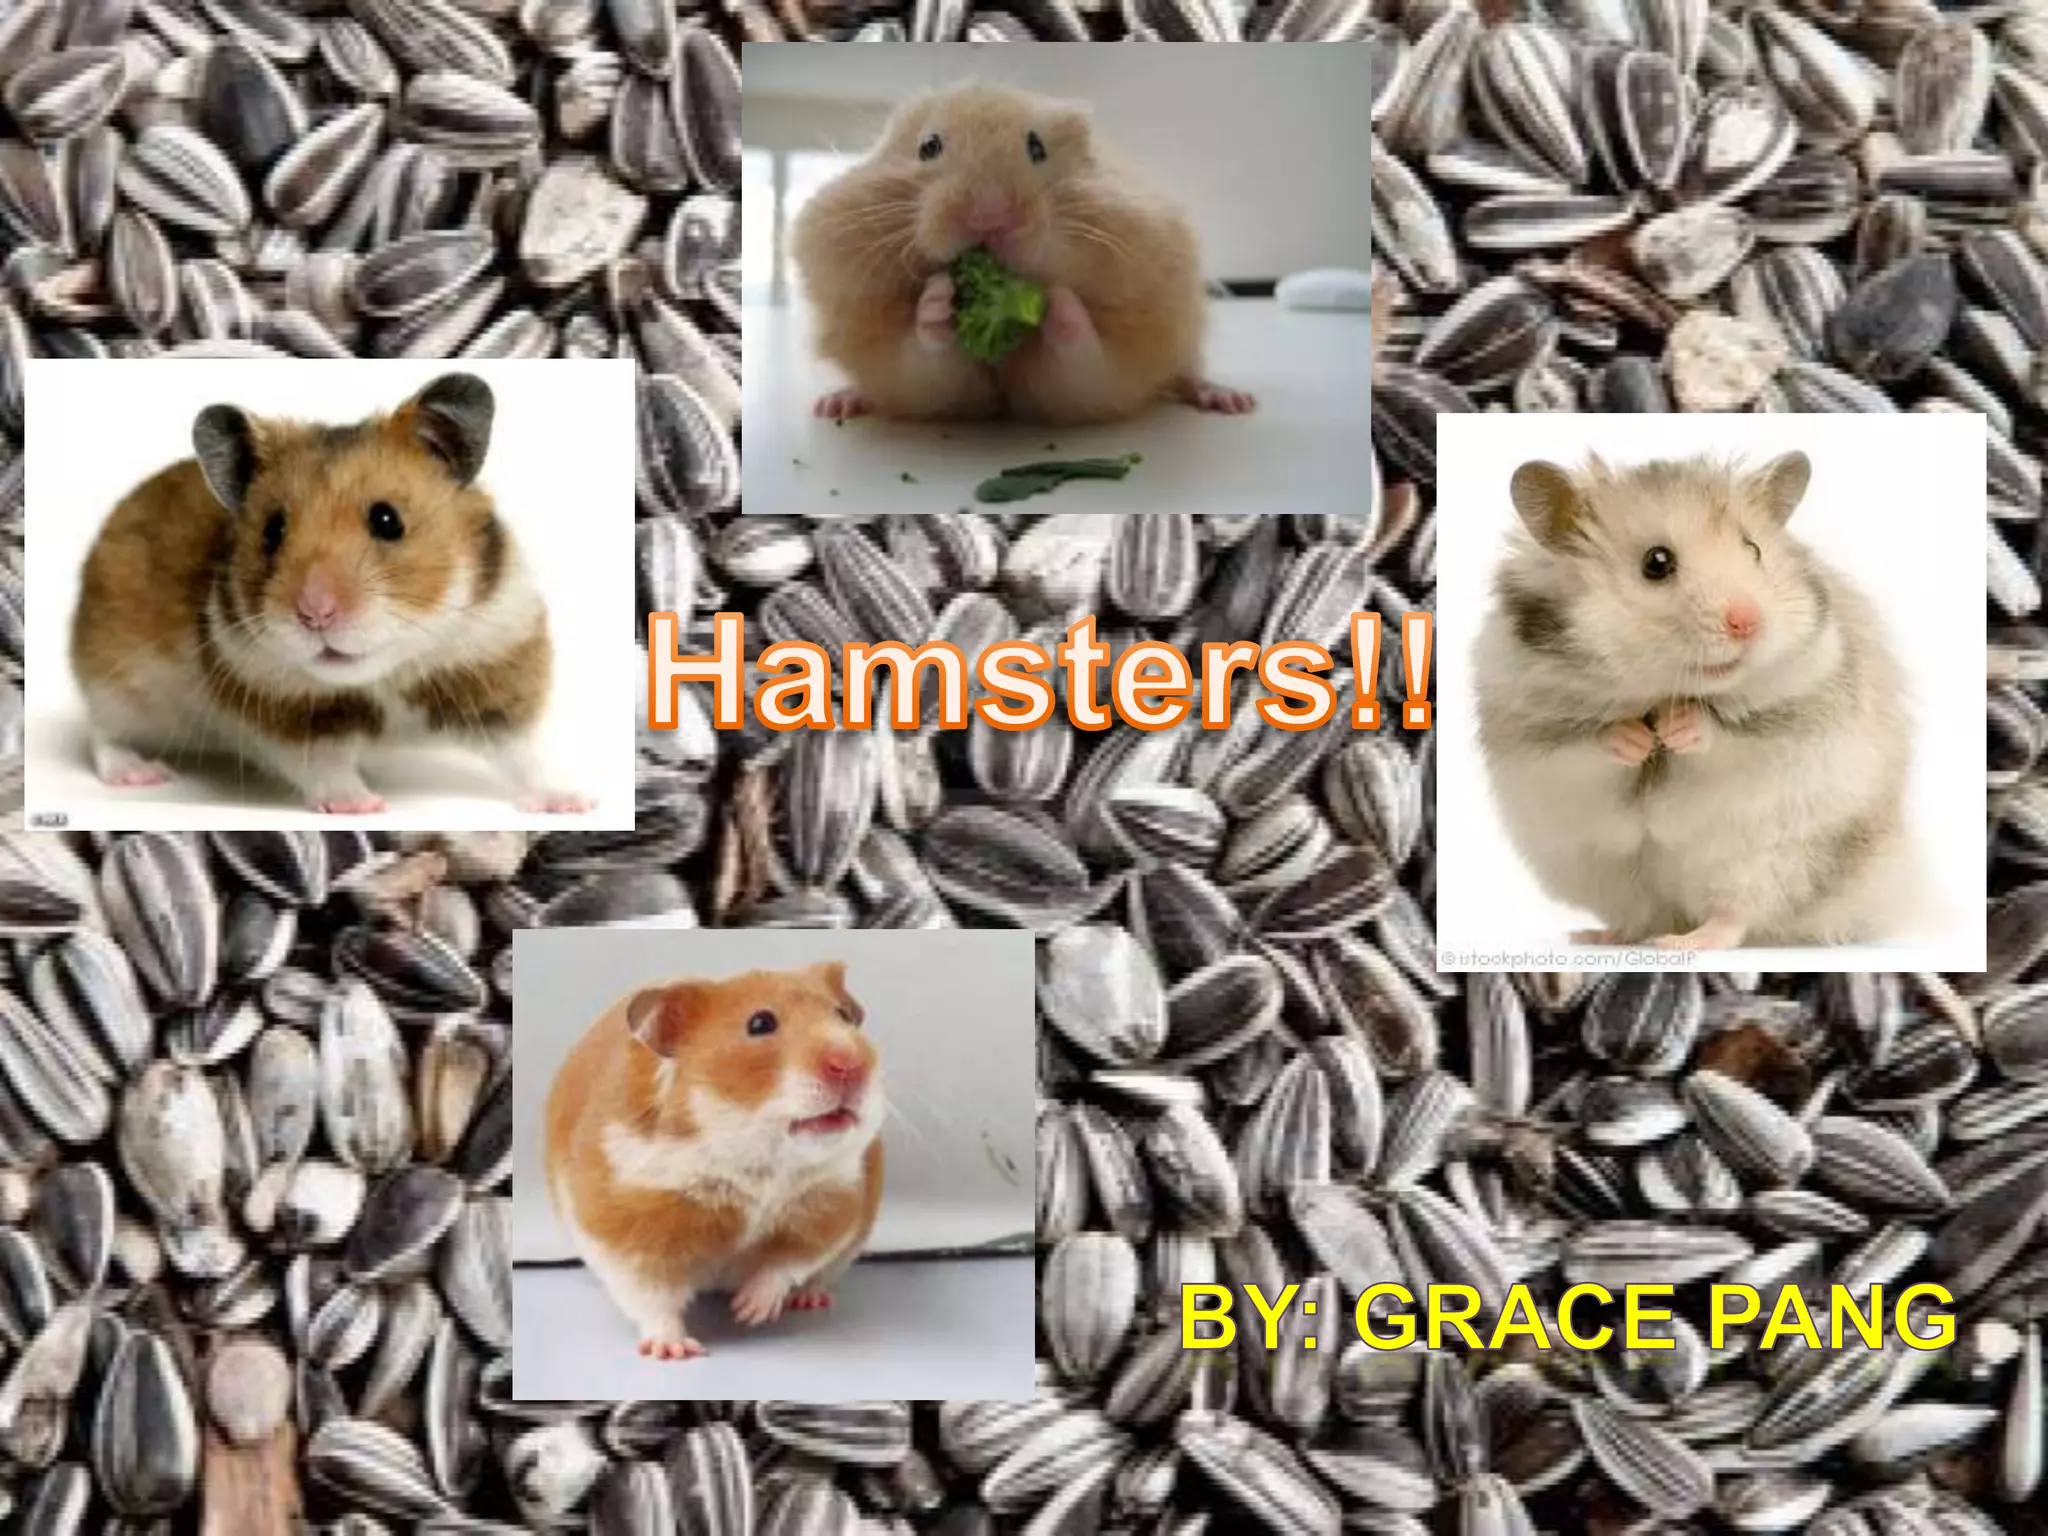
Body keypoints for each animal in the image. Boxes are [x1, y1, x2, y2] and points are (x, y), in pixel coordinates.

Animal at [69, 373, 590, 815]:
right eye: (273, 530)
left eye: (388, 520)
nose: (315, 614)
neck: (384, 675)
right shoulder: (286, 711)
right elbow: (324, 764)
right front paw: (364, 807)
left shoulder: (494, 669)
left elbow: (525, 753)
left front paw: (574, 803)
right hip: (115, 680)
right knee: (102, 734)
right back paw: (141, 773)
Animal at [543, 960, 885, 1360]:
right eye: (760, 1023)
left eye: (843, 1016)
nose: (851, 1063)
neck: (755, 1158)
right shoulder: (626, 1227)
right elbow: (651, 1297)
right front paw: (674, 1350)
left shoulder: (832, 1208)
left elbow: (786, 1262)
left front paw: (748, 1310)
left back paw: (808, 1299)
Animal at [788, 81, 1256, 426]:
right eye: (929, 146)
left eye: (1037, 148)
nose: (990, 215)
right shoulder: (922, 381)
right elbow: (925, 353)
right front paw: (937, 298)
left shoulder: (1096, 381)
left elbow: (1080, 354)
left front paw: (1058, 302)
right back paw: (838, 403)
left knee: (1188, 373)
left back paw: (1231, 400)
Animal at [1473, 451, 1919, 950]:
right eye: (1657, 562)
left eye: (1754, 550)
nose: (1749, 622)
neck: (1660, 691)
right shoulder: (1533, 729)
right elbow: (1589, 743)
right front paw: (1636, 739)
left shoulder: (1797, 709)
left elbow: (1726, 735)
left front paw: (1676, 728)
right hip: (1605, 874)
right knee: (1642, 916)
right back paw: (1597, 936)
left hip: (1769, 861)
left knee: (1736, 916)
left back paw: (1682, 943)